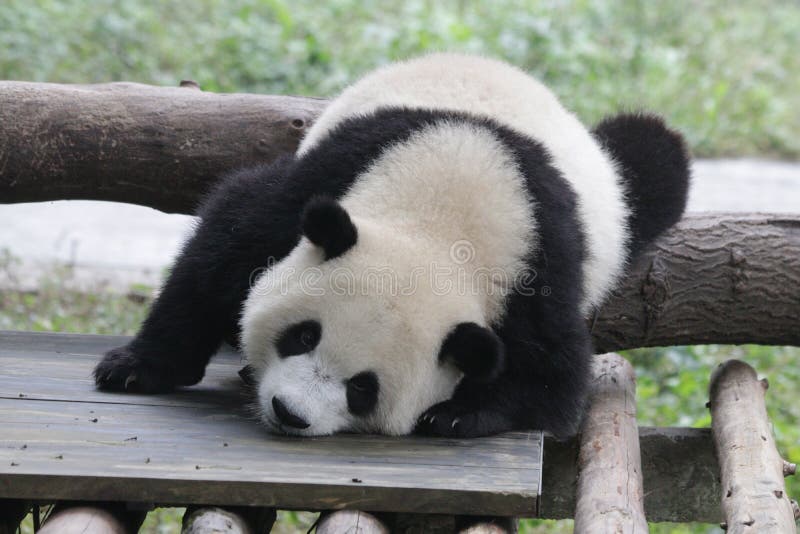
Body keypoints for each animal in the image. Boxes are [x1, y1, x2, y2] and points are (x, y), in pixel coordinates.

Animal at [94, 53, 689, 438]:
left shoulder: (539, 269)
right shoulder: (332, 175)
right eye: (302, 335)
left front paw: (459, 413)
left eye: (363, 388)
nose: (289, 412)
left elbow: (553, 381)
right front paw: (136, 366)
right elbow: (225, 246)